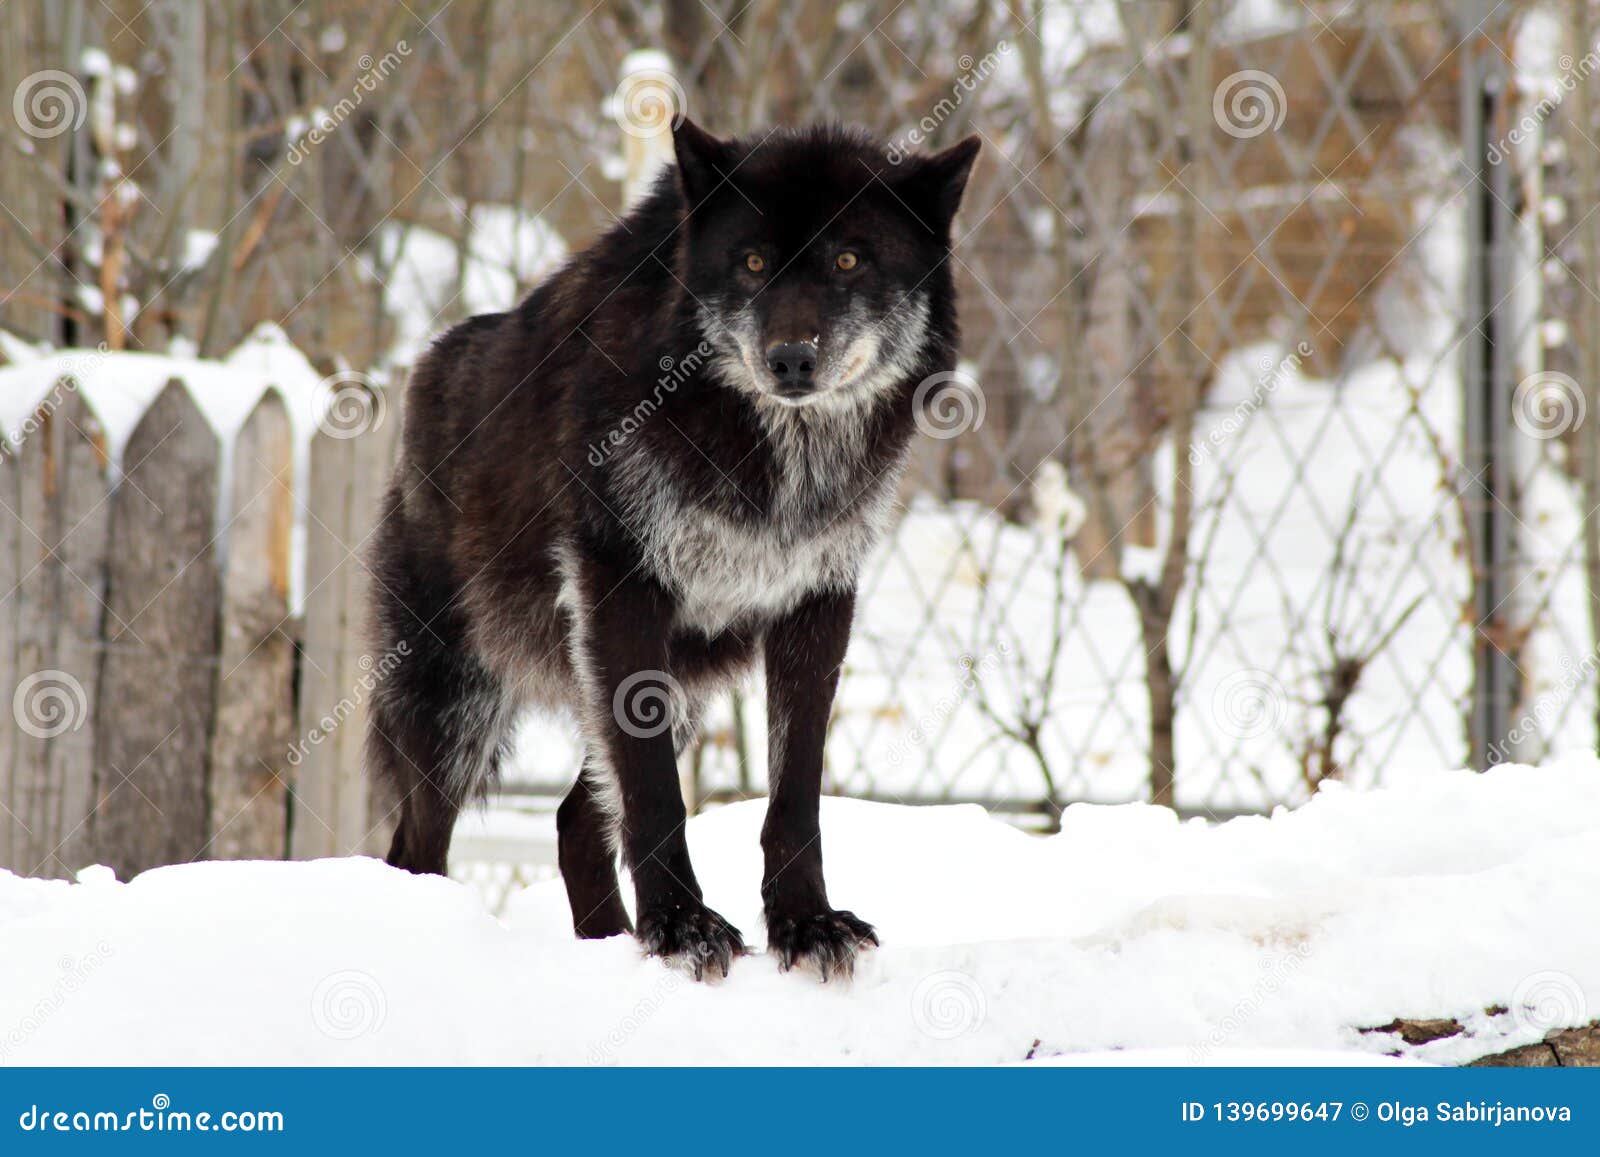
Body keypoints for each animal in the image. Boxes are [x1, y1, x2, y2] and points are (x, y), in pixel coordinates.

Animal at [367, 118, 979, 980]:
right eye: (751, 262)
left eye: (849, 260)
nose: (791, 358)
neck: (774, 456)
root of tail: (429, 363)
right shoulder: (622, 586)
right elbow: (658, 793)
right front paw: (683, 926)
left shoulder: (818, 599)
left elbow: (795, 791)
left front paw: (804, 922)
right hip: (456, 701)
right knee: (416, 845)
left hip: (682, 681)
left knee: (573, 823)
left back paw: (606, 944)